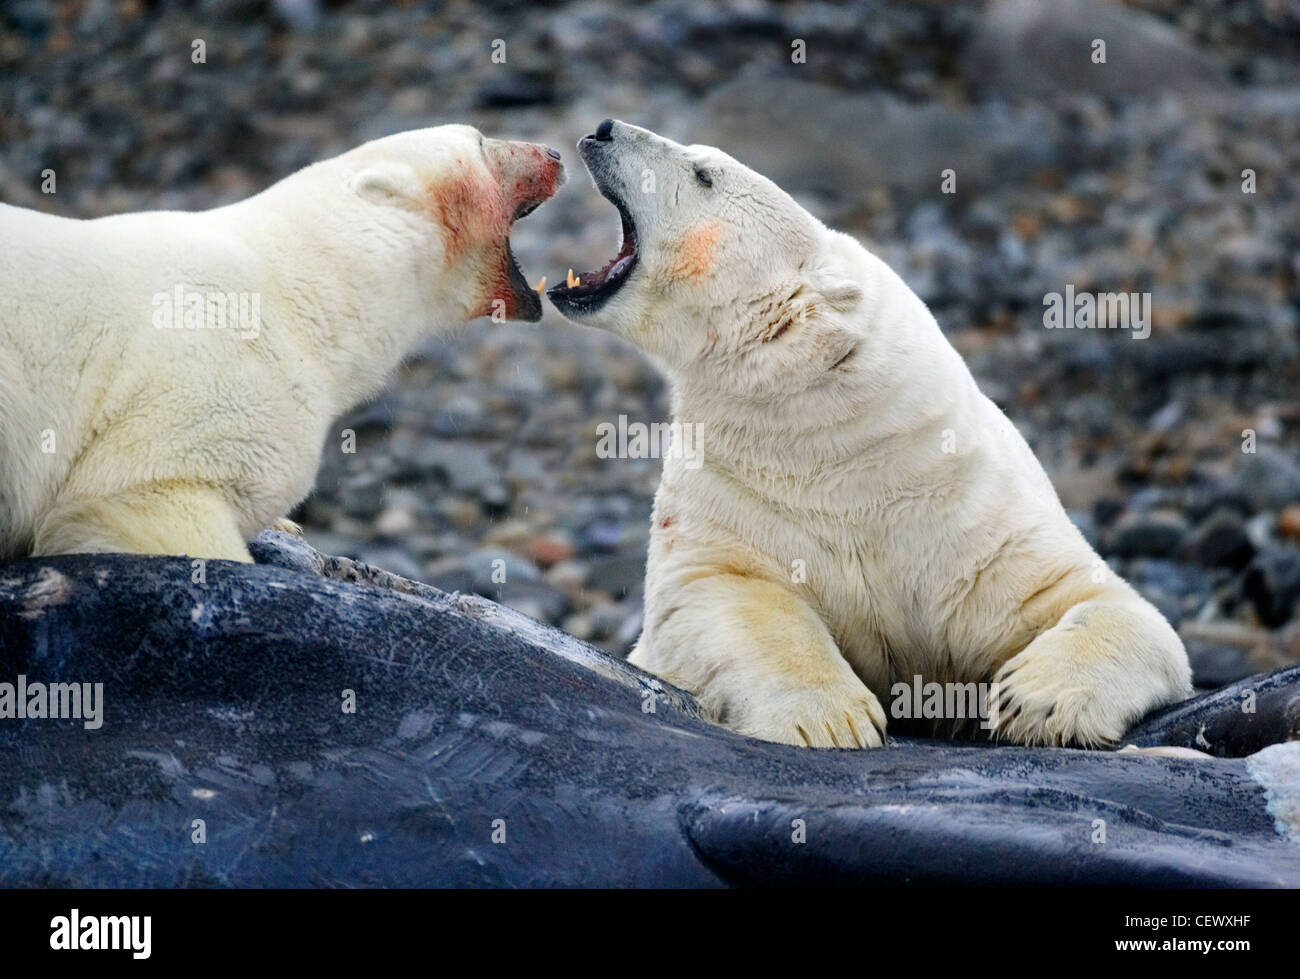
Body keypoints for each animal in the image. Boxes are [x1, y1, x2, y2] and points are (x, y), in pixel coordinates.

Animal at [0, 125, 563, 561]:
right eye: (482, 142)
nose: (555, 153)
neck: (304, 289)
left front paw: (287, 526)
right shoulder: (206, 385)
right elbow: (141, 497)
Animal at [548, 119, 1192, 750]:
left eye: (703, 172)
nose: (604, 128)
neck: (836, 437)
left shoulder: (975, 527)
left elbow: (1104, 604)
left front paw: (1034, 700)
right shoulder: (728, 493)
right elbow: (720, 593)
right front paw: (831, 719)